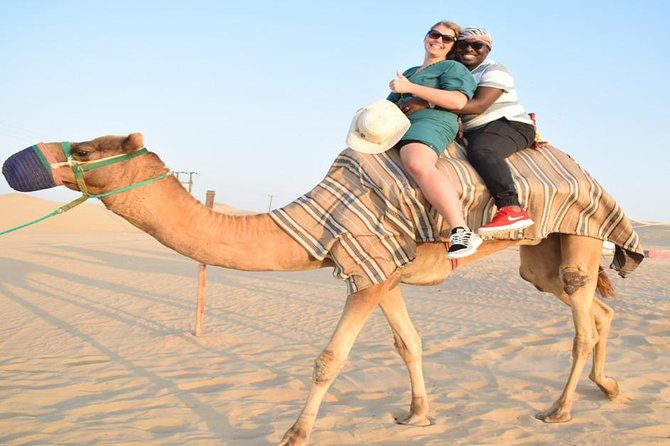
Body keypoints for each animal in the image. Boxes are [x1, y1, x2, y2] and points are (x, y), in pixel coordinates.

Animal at [2, 133, 642, 446]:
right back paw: (608, 388)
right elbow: (407, 343)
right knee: (594, 309)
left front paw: (295, 432)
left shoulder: (365, 267)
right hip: (541, 255)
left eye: (88, 150)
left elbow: (329, 358)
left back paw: (559, 410)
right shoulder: (383, 272)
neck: (313, 222)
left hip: (581, 232)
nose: (21, 161)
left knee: (583, 319)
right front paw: (418, 416)